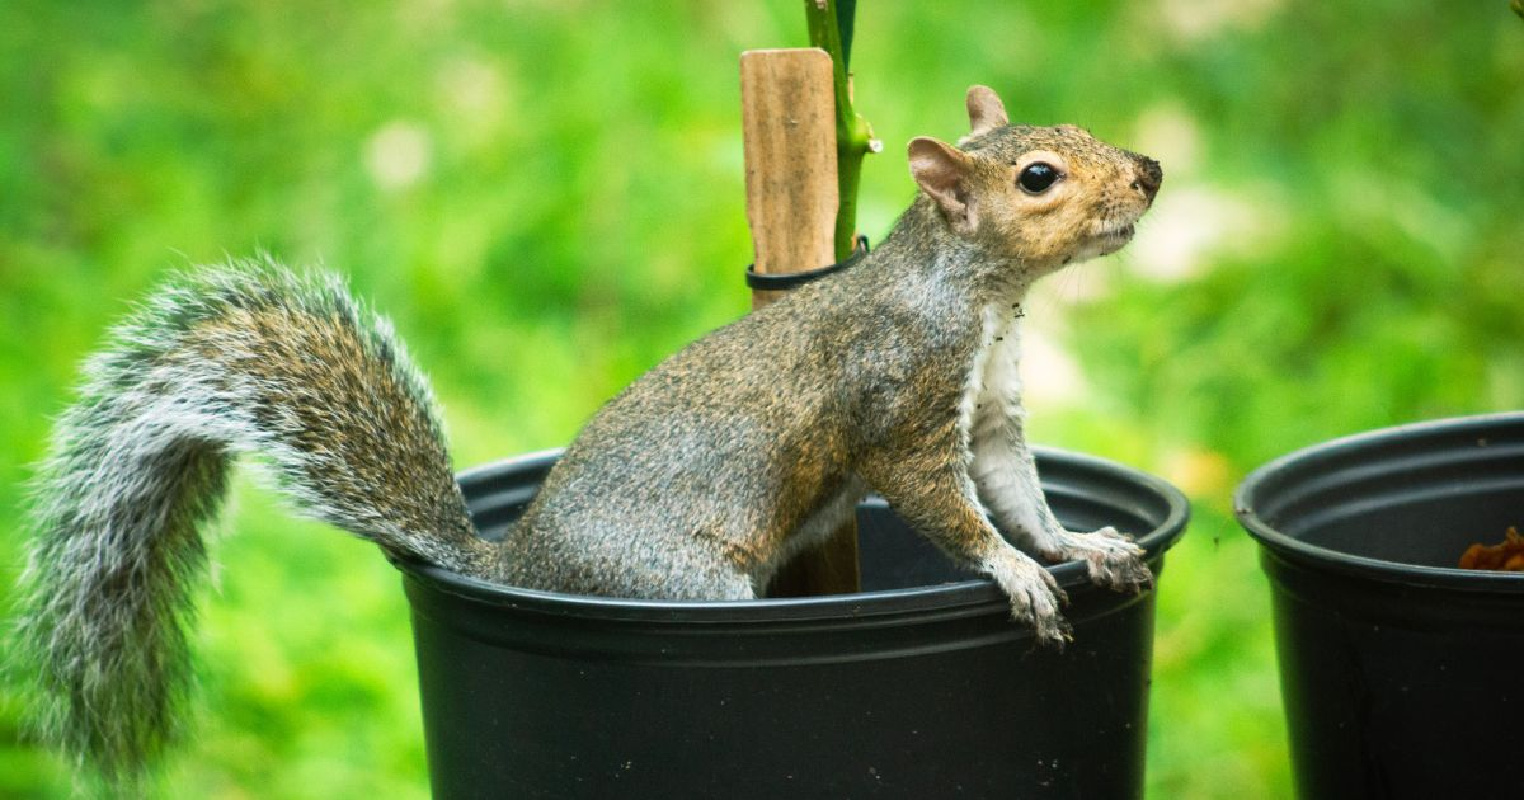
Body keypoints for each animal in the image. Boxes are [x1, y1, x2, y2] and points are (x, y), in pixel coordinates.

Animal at [12, 85, 1161, 790]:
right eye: (1040, 177)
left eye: (1081, 131)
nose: (1150, 169)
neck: (982, 297)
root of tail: (517, 561)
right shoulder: (902, 406)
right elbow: (950, 510)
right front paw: (1014, 576)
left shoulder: (992, 415)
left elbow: (1018, 493)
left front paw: (1080, 547)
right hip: (679, 582)